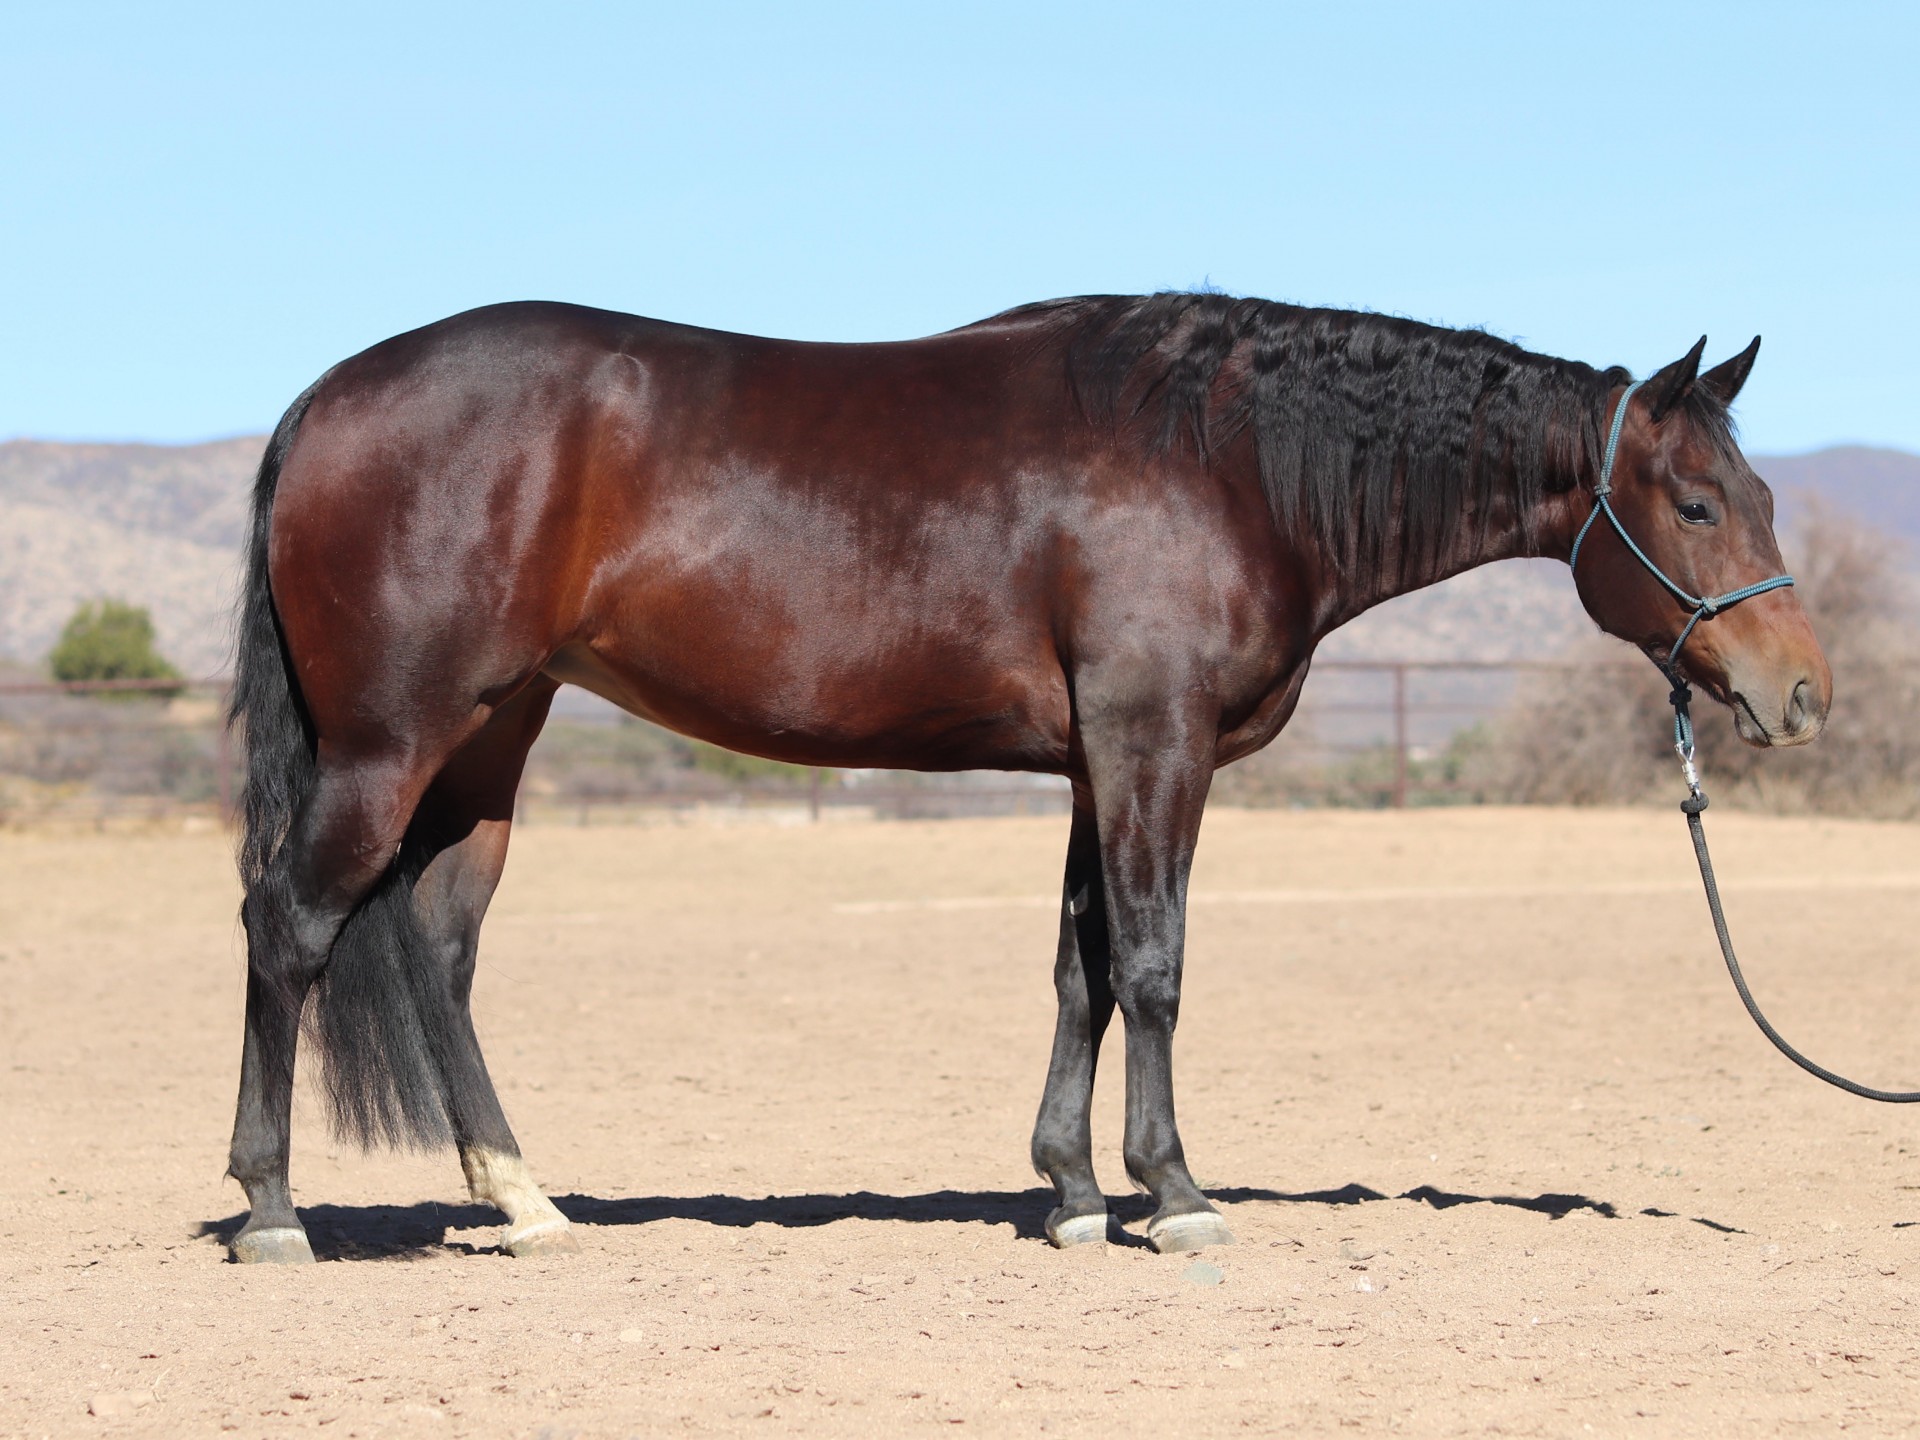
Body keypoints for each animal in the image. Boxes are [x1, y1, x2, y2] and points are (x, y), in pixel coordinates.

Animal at [223, 293, 1830, 1264]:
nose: (1802, 692)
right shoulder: (1151, 742)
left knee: (438, 947)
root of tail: (322, 401)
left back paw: (524, 1198)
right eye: (1695, 504)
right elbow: (1157, 963)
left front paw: (1067, 1192)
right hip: (392, 741)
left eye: (1757, 494)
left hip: (496, 732)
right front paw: (1174, 1196)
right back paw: (272, 1209)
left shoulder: (1091, 762)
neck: (1228, 460)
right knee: (289, 931)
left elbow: (1084, 969)